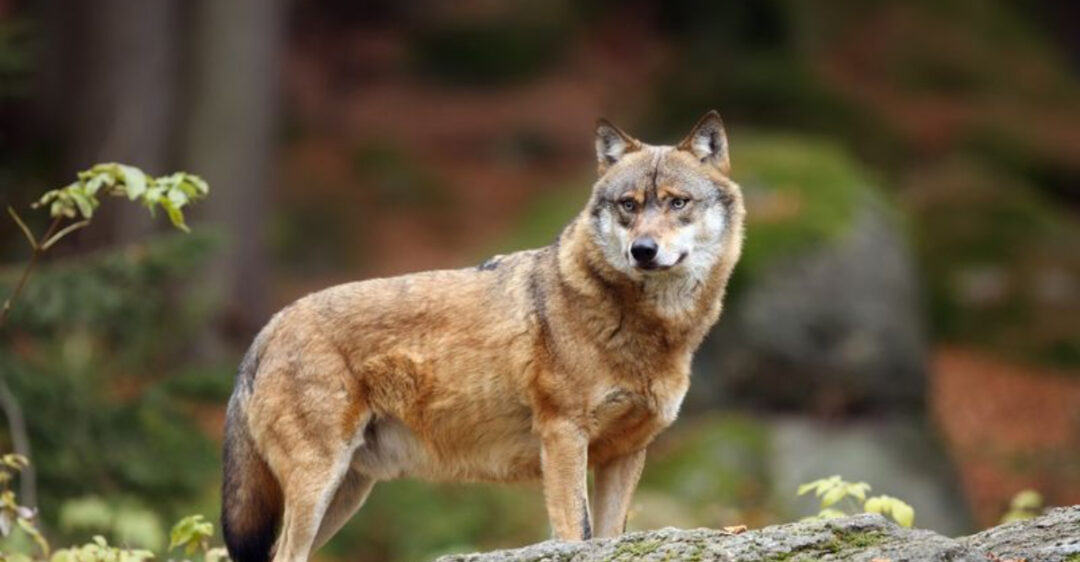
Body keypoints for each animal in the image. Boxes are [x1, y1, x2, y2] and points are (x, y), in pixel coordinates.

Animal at [221, 111, 746, 562]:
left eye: (678, 202)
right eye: (629, 206)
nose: (643, 250)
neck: (647, 327)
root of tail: (268, 327)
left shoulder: (626, 453)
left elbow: (609, 536)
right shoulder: (562, 436)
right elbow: (576, 532)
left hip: (345, 493)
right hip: (319, 486)